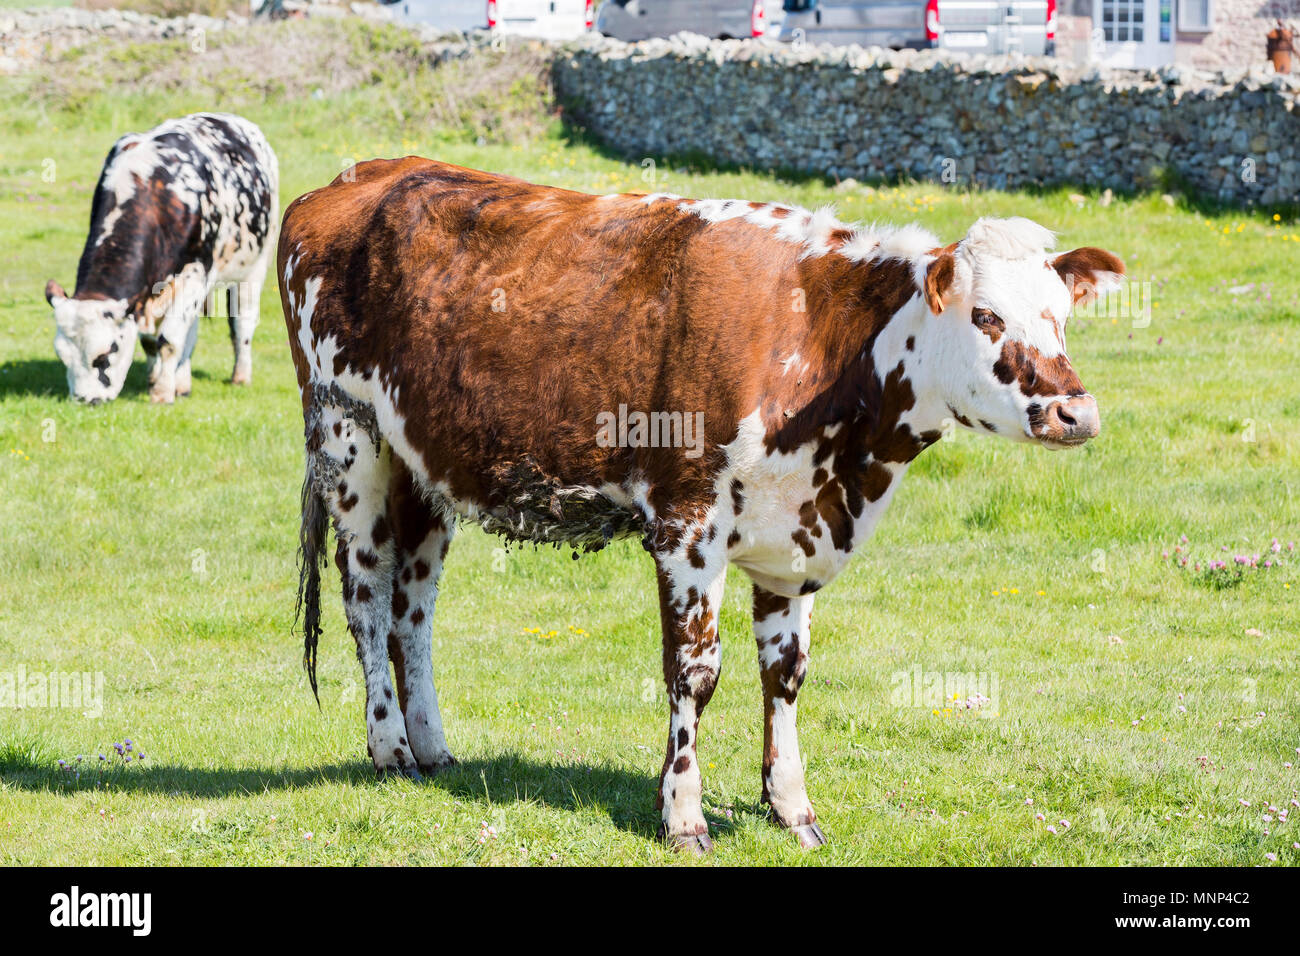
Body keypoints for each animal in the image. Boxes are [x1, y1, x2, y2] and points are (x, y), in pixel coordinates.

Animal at [45, 112, 278, 405]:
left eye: (104, 355)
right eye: (63, 357)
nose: (85, 399)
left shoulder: (195, 272)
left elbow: (168, 341)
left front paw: (162, 393)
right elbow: (151, 342)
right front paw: (156, 381)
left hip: (254, 266)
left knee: (242, 323)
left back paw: (240, 375)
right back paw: (183, 382)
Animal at [278, 158, 1124, 852]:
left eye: (1061, 315)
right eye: (985, 315)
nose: (1075, 412)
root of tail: (358, 177)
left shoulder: (793, 541)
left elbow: (785, 675)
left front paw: (792, 808)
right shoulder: (687, 528)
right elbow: (694, 672)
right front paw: (682, 815)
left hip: (424, 468)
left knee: (413, 612)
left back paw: (432, 745)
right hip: (349, 439)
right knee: (366, 600)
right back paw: (390, 749)